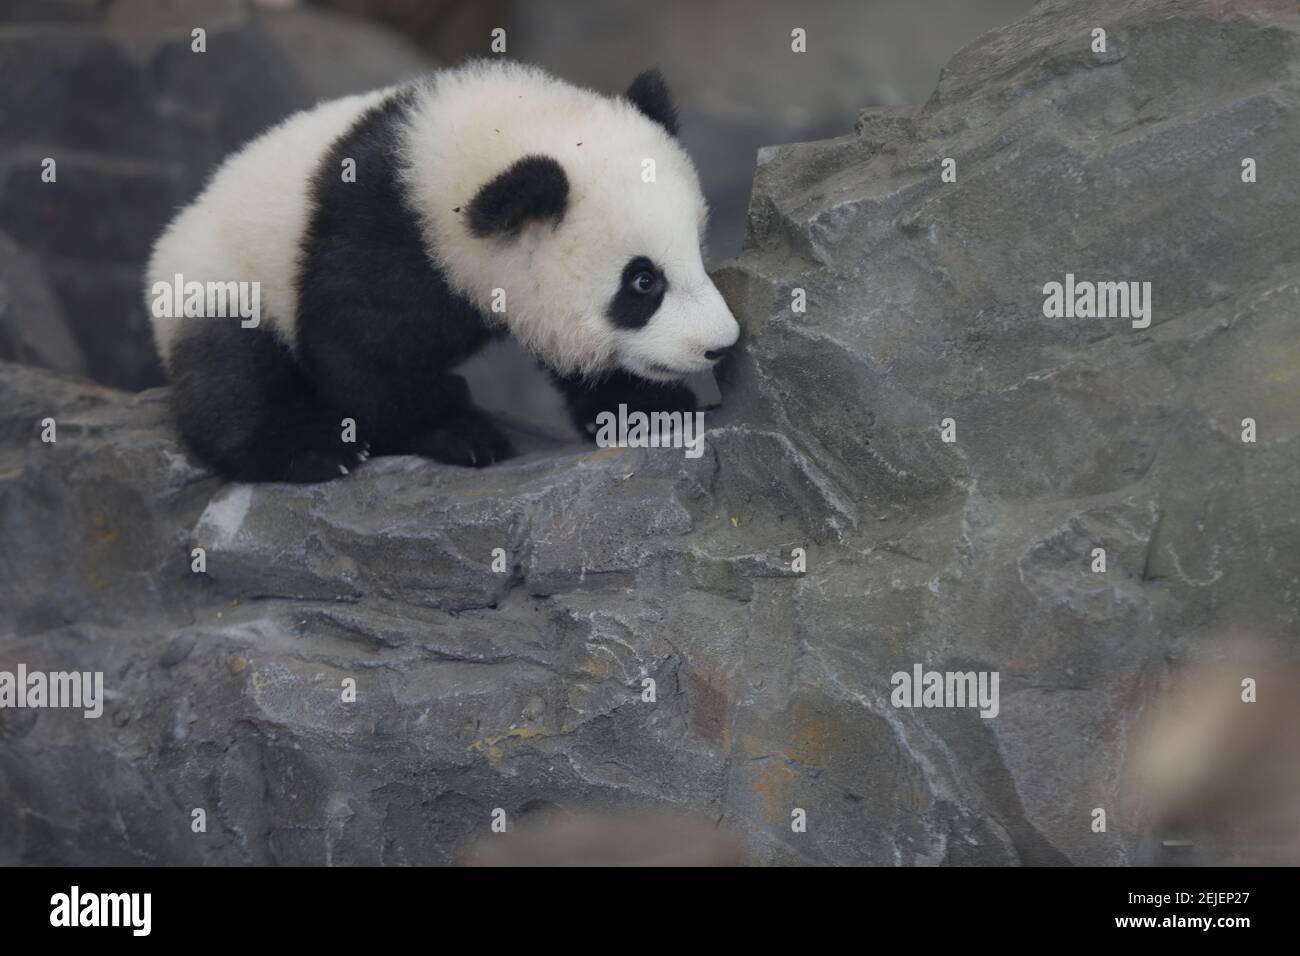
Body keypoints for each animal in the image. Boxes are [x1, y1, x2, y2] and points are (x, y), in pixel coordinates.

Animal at [145, 59, 740, 483]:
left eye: (698, 250)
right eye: (643, 282)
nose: (720, 345)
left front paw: (645, 410)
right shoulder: (377, 232)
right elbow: (362, 351)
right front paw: (458, 434)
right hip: (223, 279)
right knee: (233, 373)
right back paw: (308, 447)